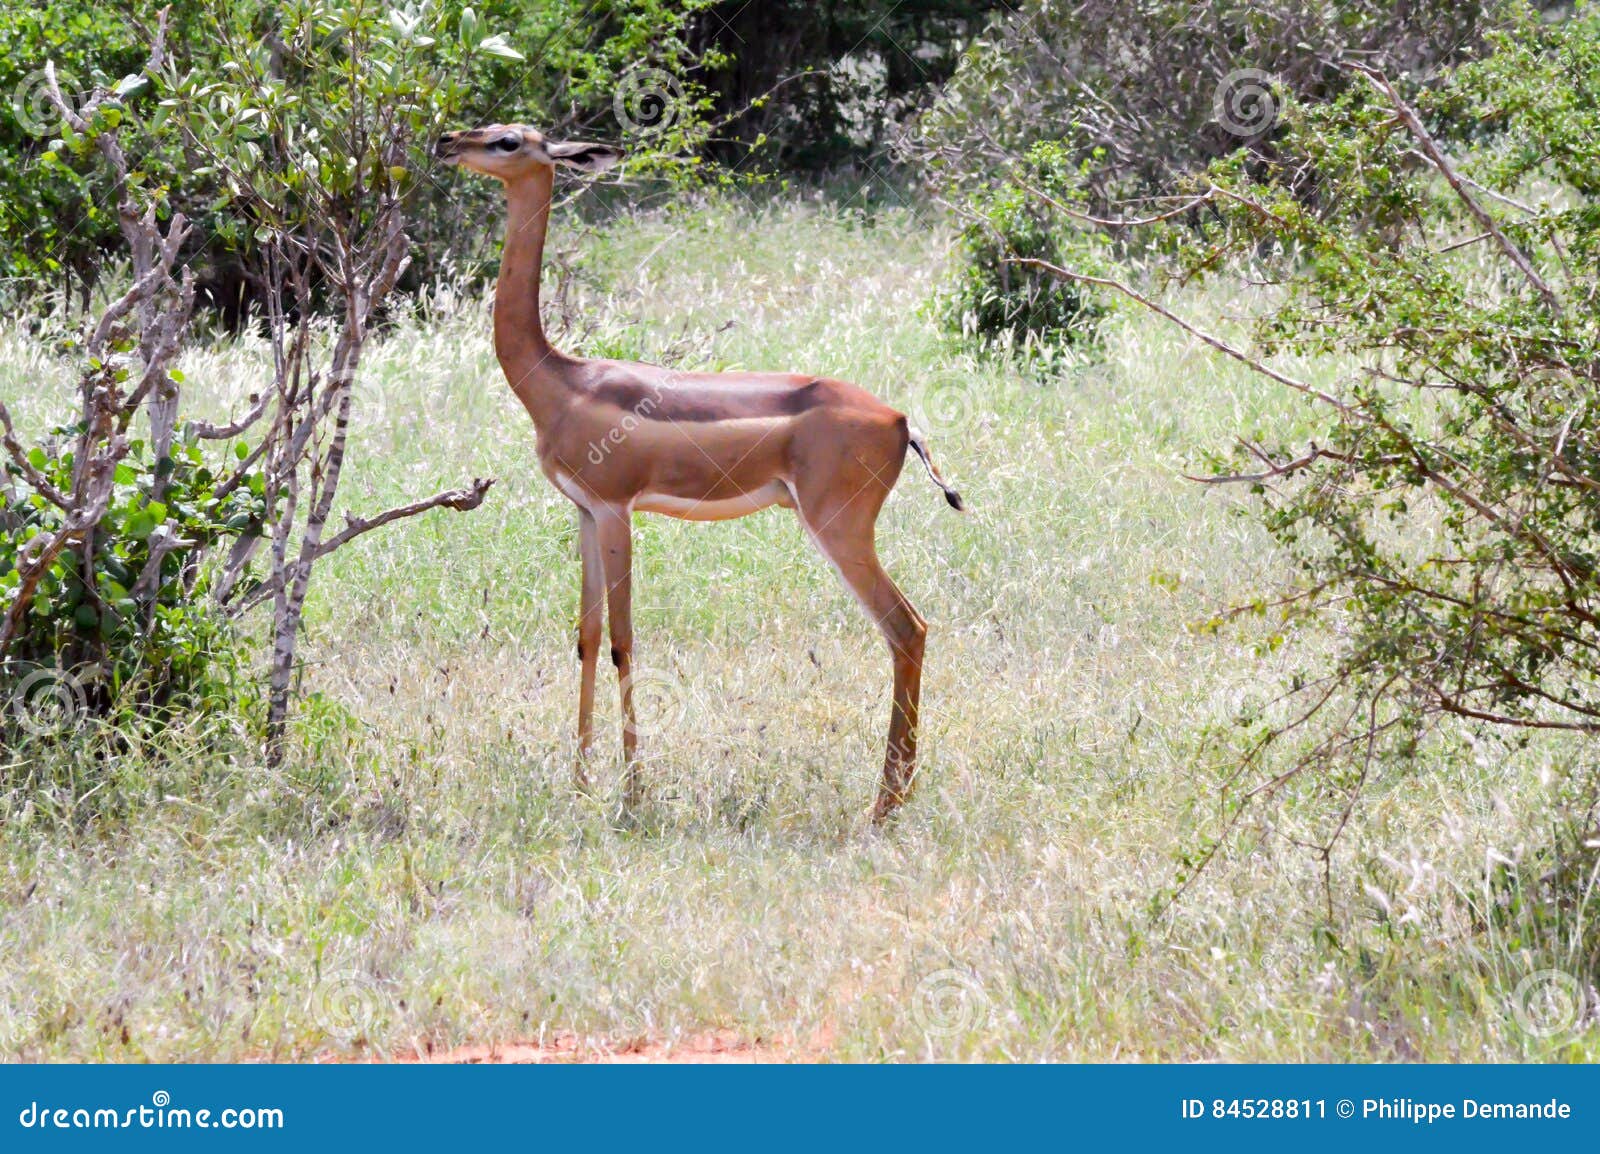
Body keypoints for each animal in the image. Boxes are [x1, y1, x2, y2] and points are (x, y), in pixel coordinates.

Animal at [434, 124, 964, 823]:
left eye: (507, 142)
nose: (446, 142)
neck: (562, 381)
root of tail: (902, 421)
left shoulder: (616, 510)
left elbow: (623, 640)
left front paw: (633, 795)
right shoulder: (583, 512)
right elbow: (586, 635)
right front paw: (579, 785)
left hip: (838, 529)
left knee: (907, 628)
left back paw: (884, 806)